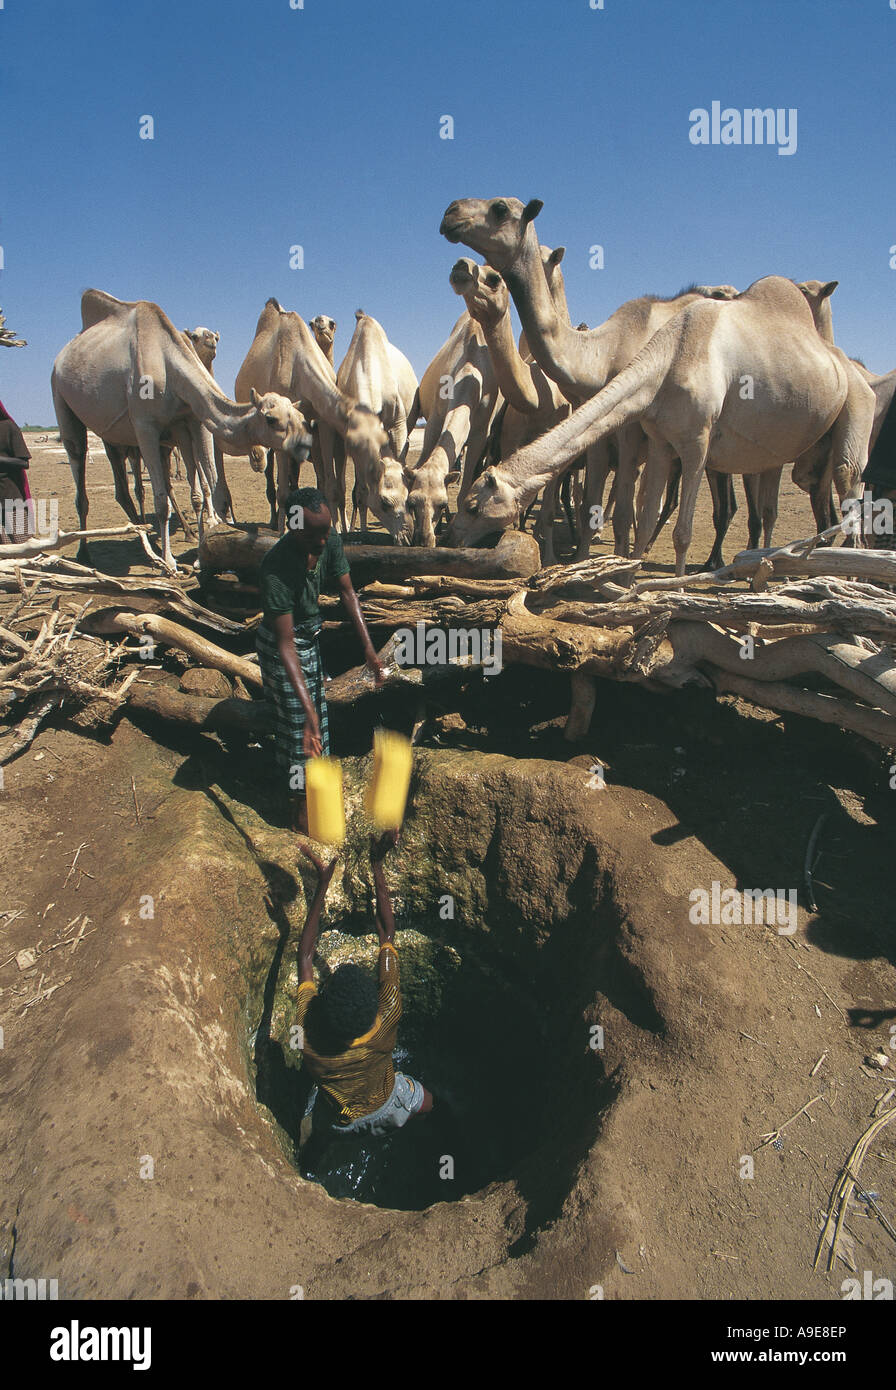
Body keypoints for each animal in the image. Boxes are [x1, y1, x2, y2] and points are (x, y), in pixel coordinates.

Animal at [52, 290, 312, 571]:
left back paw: (148, 546)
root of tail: (61, 357)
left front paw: (201, 554)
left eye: (299, 416)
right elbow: (161, 500)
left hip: (114, 435)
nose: (304, 444)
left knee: (122, 489)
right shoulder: (145, 425)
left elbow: (204, 492)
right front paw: (170, 562)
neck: (168, 364)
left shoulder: (188, 421)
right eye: (271, 419)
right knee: (80, 470)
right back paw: (87, 554)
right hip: (61, 399)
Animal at [235, 298, 401, 536]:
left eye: (382, 438)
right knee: (273, 478)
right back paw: (275, 522)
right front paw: (283, 532)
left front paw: (338, 529)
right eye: (384, 502)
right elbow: (284, 490)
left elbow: (331, 486)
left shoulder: (322, 421)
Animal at [336, 311, 417, 541]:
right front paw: (361, 532)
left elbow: (399, 459)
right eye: (384, 503)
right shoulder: (356, 442)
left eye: (409, 498)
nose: (408, 536)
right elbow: (361, 491)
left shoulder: (398, 423)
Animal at [440, 196, 739, 556]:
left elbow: (619, 509)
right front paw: (582, 557)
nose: (451, 213)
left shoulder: (628, 425)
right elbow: (588, 504)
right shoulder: (597, 433)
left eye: (500, 208)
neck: (603, 353)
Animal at [447, 274, 876, 576]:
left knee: (848, 478)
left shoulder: (697, 442)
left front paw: (671, 588)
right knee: (775, 504)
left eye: (472, 506)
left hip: (856, 405)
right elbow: (645, 516)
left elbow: (682, 532)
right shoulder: (659, 441)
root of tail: (848, 364)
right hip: (780, 449)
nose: (453, 538)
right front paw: (627, 582)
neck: (669, 357)